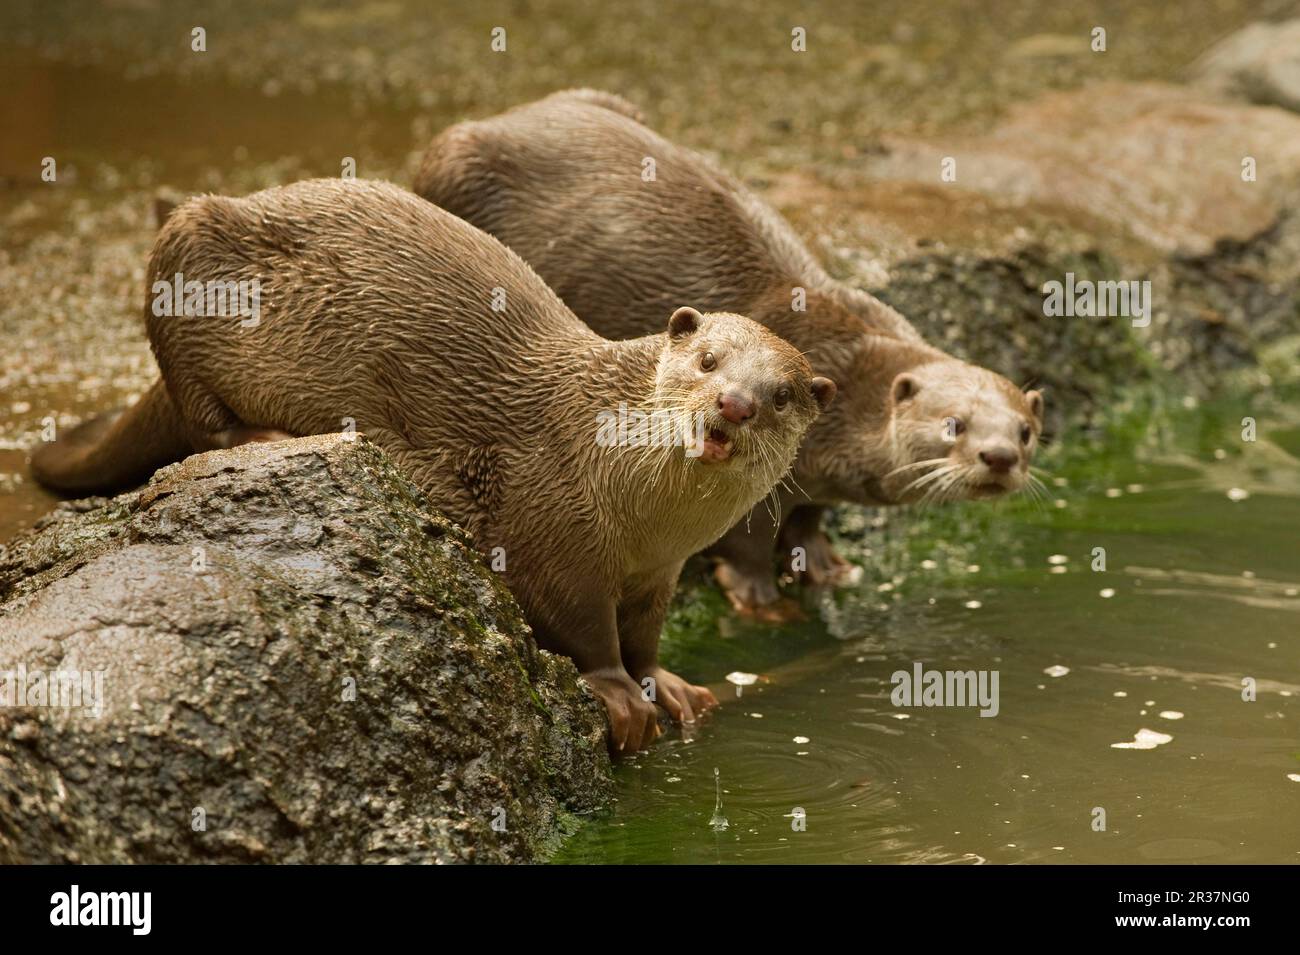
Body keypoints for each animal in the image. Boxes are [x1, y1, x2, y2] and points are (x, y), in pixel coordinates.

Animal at [31, 178, 835, 751]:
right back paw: (263, 433)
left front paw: (665, 683)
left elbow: (643, 636)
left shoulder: (657, 574)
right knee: (197, 407)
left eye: (782, 394)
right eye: (709, 360)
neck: (639, 514)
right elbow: (580, 624)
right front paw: (614, 693)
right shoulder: (550, 521)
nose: (735, 403)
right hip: (184, 256)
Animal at [414, 90, 1043, 616]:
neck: (850, 380)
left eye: (1026, 432)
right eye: (953, 424)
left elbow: (810, 516)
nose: (999, 458)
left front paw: (824, 564)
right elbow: (746, 540)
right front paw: (759, 599)